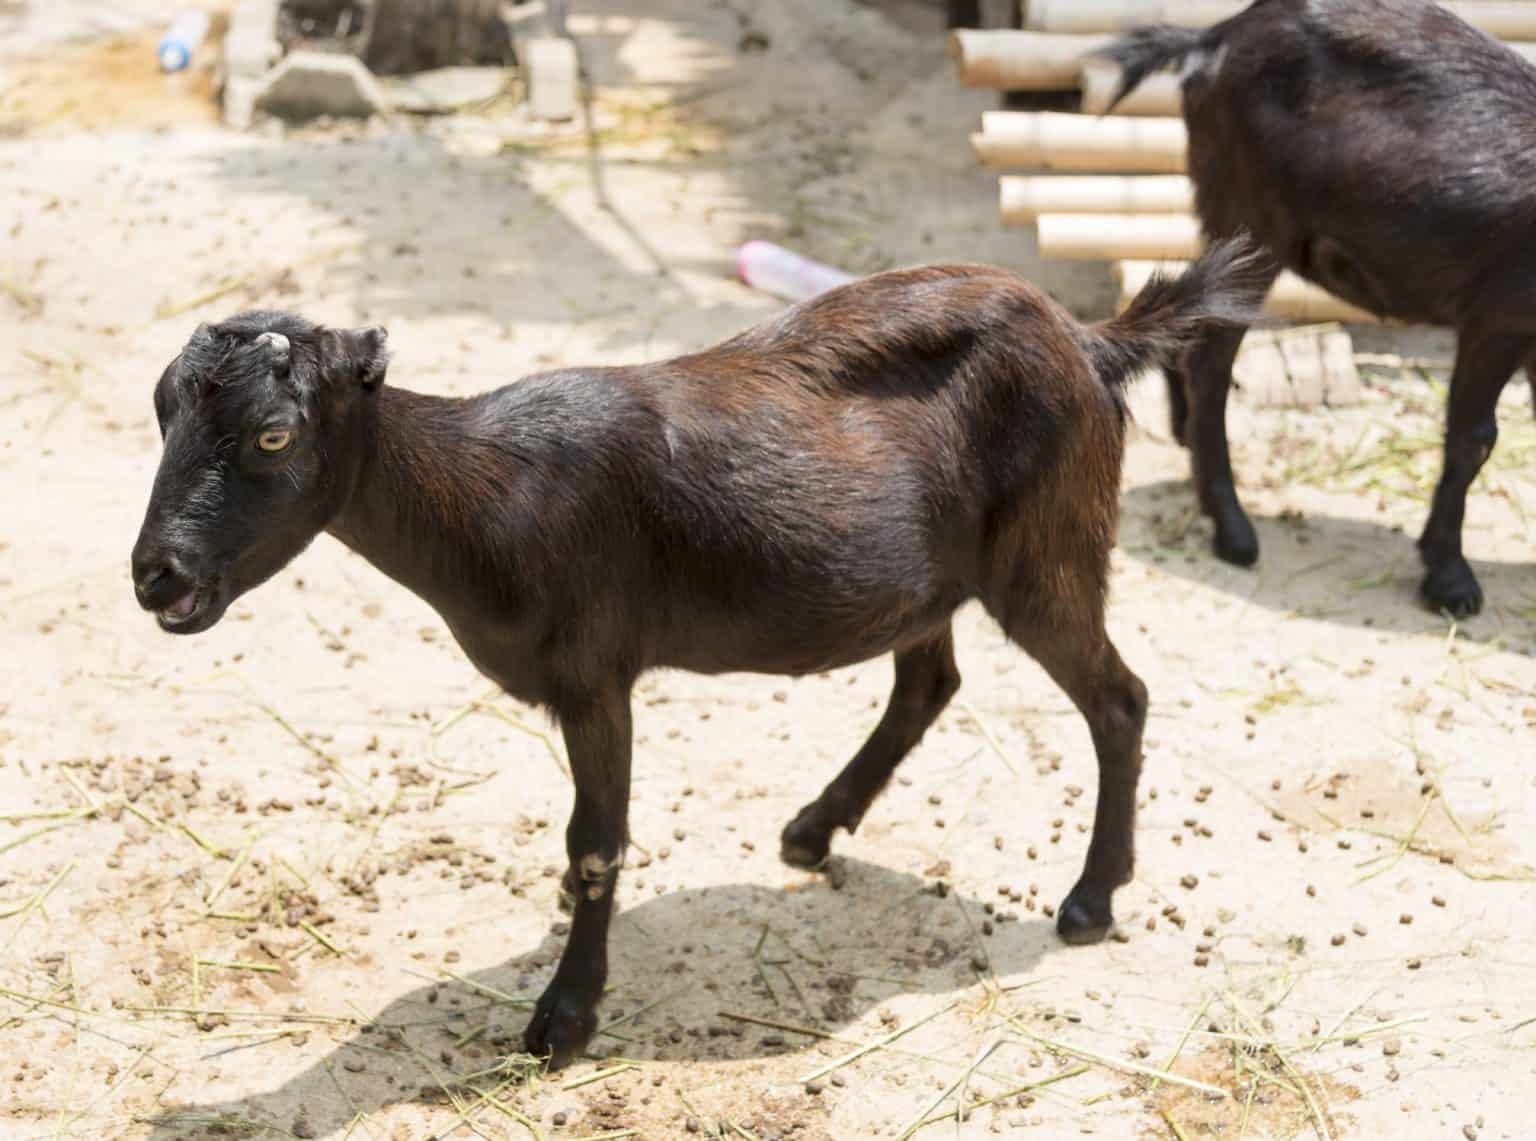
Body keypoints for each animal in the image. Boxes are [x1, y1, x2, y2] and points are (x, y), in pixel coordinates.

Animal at [131, 241, 1266, 1068]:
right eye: (161, 408)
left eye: (274, 435)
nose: (158, 576)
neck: (490, 496)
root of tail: (1094, 341)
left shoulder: (596, 671)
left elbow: (595, 843)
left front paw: (564, 1019)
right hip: (926, 581)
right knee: (930, 680)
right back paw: (814, 830)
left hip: (1049, 551)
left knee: (1118, 697)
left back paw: (1090, 899)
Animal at [1099, 0, 1536, 617]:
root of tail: (1217, 36)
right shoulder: (1499, 315)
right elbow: (1474, 438)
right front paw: (1450, 579)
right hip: (1249, 219)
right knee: (1210, 362)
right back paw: (1233, 532)